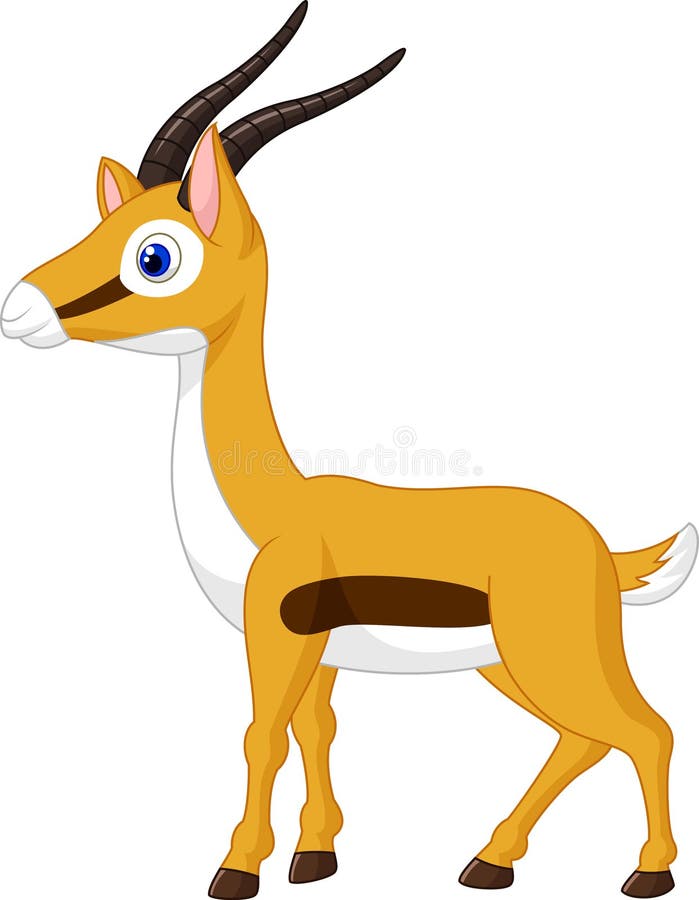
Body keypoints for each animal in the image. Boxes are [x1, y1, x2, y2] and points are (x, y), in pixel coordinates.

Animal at [2, 4, 696, 899]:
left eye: (155, 255)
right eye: (100, 225)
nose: (19, 308)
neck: (269, 505)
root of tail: (603, 551)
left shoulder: (276, 638)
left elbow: (261, 734)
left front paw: (235, 870)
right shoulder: (320, 656)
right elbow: (317, 731)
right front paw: (315, 856)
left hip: (554, 658)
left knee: (646, 729)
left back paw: (643, 874)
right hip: (508, 665)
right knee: (583, 739)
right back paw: (487, 861)